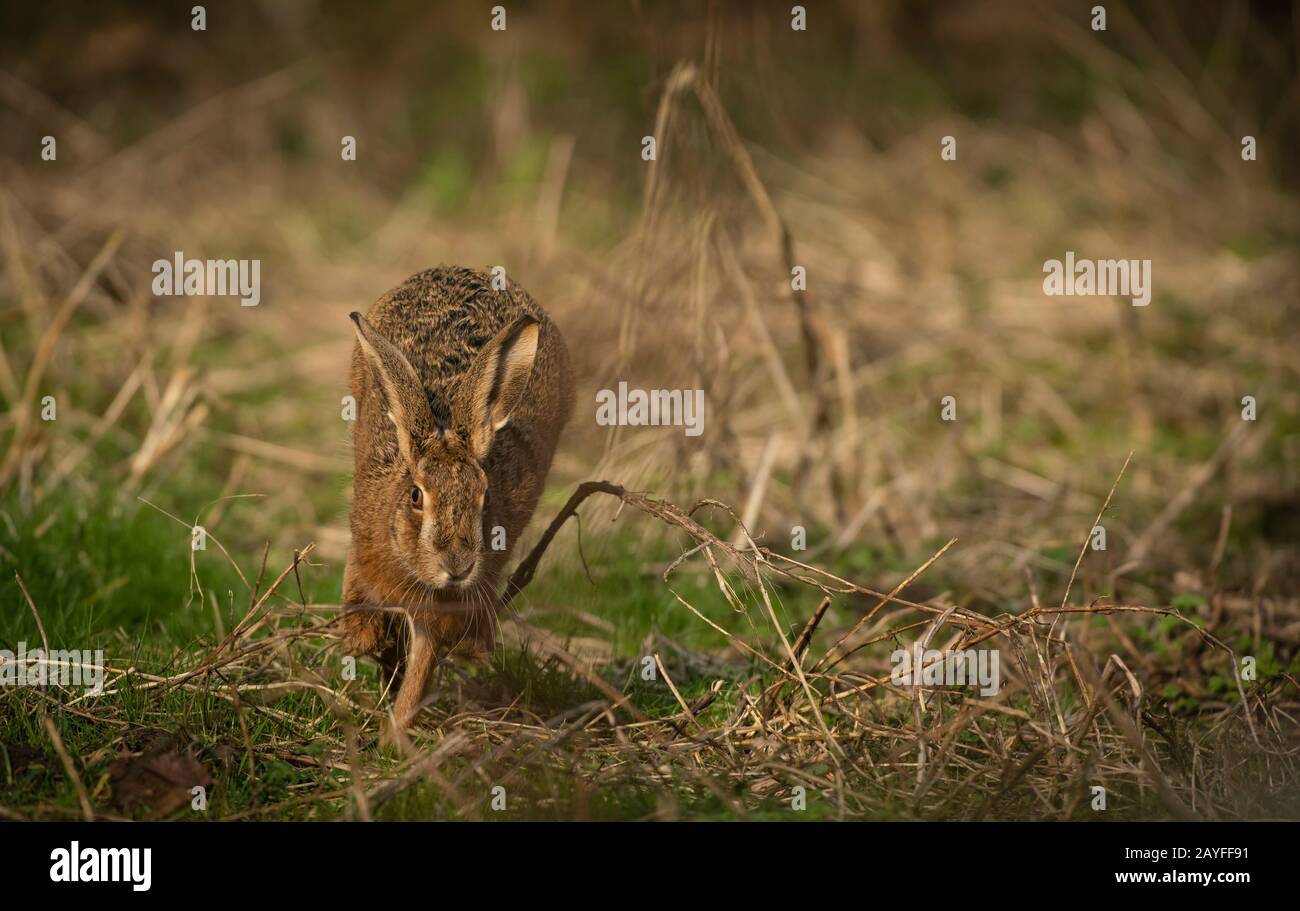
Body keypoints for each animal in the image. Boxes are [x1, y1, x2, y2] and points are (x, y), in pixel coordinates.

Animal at [339, 265, 574, 736]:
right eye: (416, 496)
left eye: (485, 497)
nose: (457, 566)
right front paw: (360, 637)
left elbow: (422, 668)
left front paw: (396, 735)